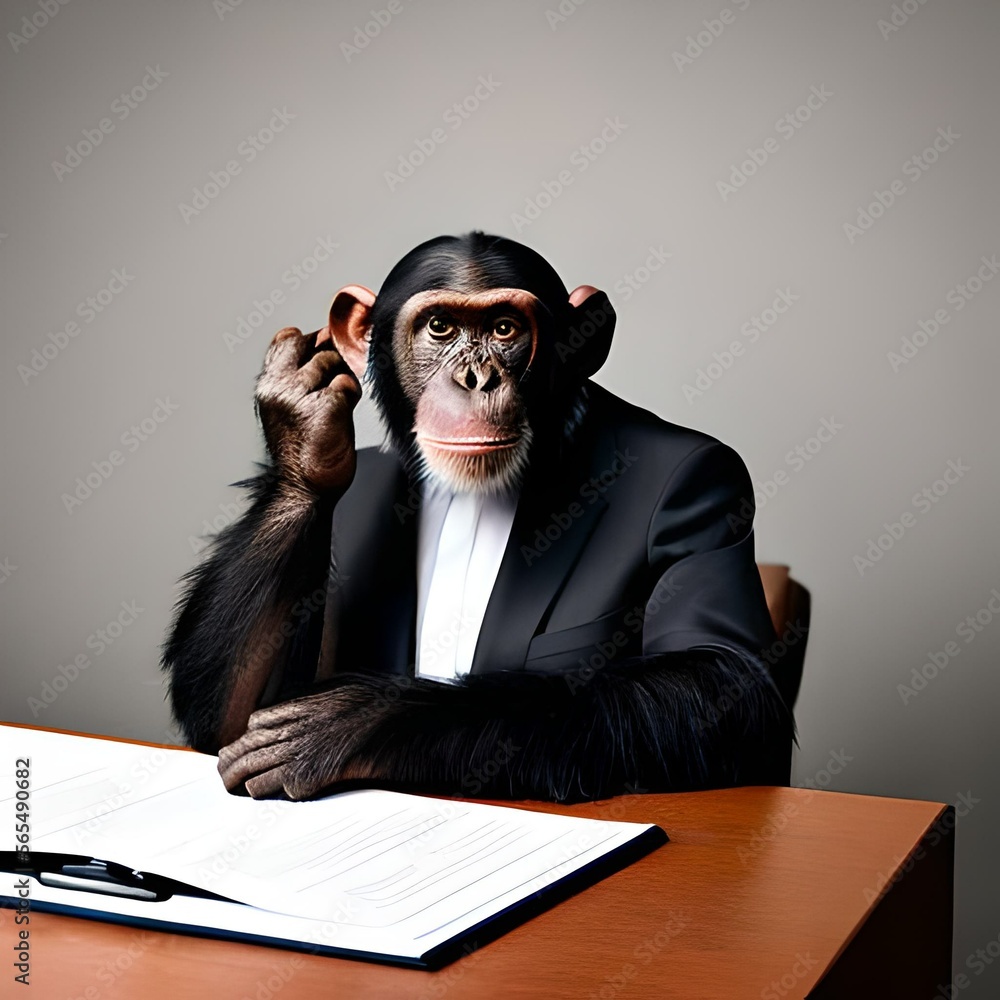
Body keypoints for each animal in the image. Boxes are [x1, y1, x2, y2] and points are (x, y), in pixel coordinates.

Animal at [162, 232, 792, 803]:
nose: (475, 377)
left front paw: (347, 720)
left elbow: (724, 677)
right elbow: (233, 711)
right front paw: (301, 412)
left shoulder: (707, 488)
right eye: (440, 326)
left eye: (505, 329)